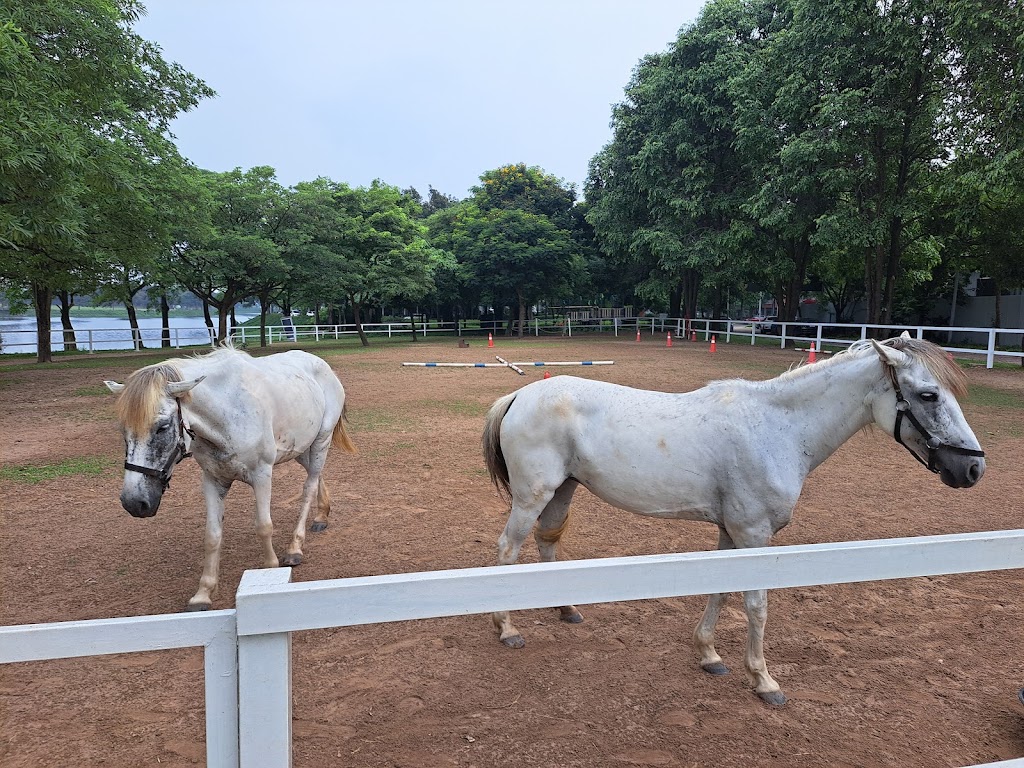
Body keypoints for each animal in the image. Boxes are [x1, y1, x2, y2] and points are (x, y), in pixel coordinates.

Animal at [104, 346, 356, 610]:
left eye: (161, 427)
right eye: (123, 430)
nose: (134, 502)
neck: (228, 410)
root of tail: (323, 365)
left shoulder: (262, 475)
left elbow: (263, 526)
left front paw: (270, 571)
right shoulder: (213, 480)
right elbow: (212, 536)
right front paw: (203, 593)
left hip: (320, 442)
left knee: (309, 486)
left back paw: (296, 547)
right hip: (298, 449)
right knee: (315, 476)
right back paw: (322, 514)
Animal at [482, 334, 985, 705]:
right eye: (928, 394)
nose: (973, 468)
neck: (778, 428)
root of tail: (519, 394)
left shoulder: (731, 531)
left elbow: (720, 589)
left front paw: (709, 654)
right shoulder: (753, 533)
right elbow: (756, 605)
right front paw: (763, 681)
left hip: (562, 490)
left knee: (548, 542)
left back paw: (565, 609)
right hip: (532, 496)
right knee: (507, 550)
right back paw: (508, 629)